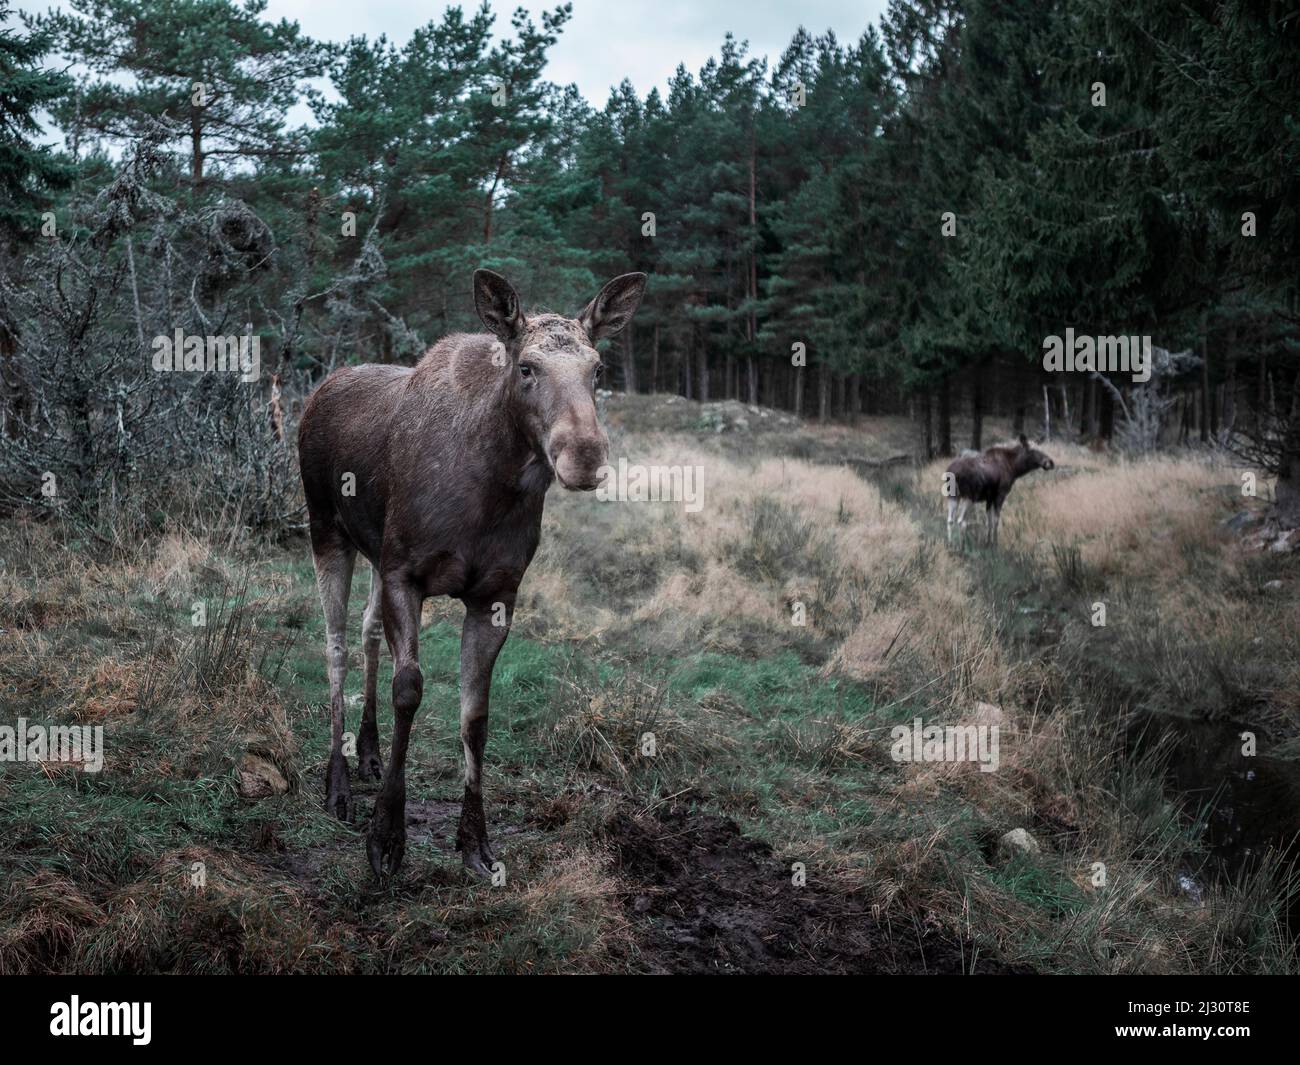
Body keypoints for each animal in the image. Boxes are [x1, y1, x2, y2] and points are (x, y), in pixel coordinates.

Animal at [297, 269, 647, 878]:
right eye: (526, 367)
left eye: (598, 368)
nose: (584, 455)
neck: (491, 490)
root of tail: (320, 390)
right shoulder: (406, 575)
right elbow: (409, 689)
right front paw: (386, 837)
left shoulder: (496, 594)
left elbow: (476, 716)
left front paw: (475, 844)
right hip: (326, 529)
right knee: (335, 644)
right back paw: (336, 786)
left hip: (372, 549)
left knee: (366, 631)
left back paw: (367, 754)